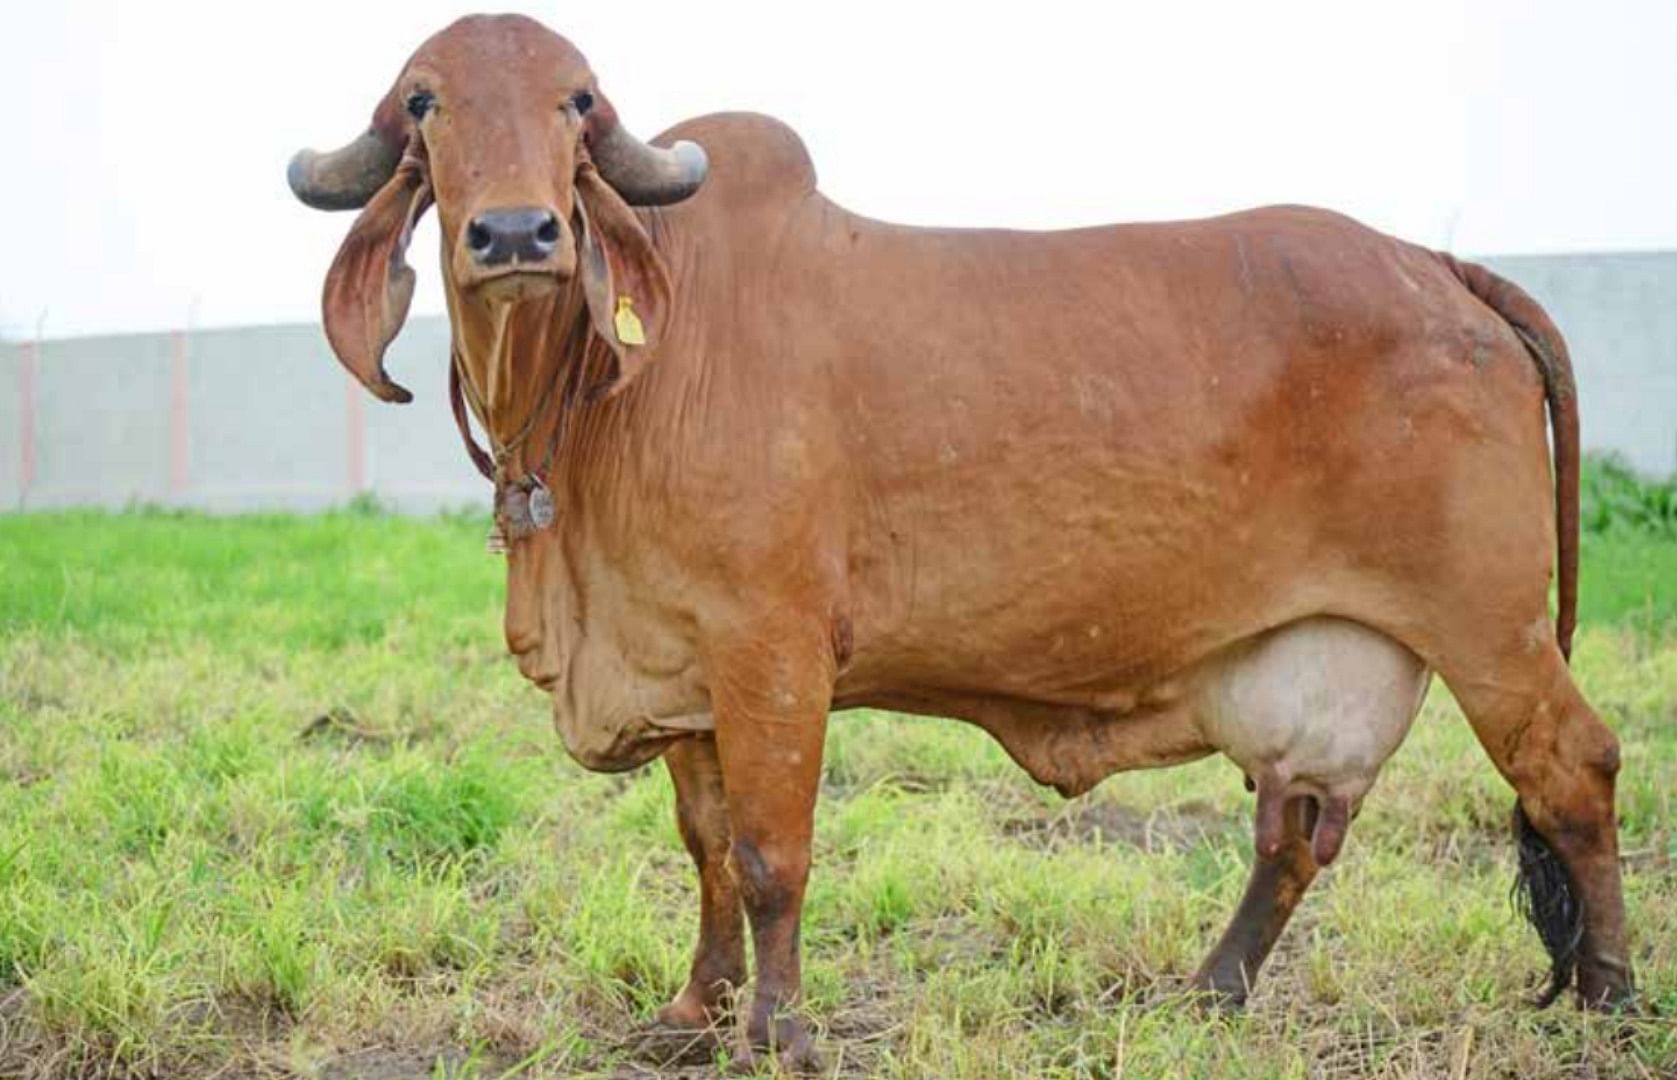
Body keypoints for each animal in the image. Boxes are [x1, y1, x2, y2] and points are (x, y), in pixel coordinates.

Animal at [288, 13, 1635, 1069]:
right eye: (423, 101)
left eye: (577, 101)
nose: (519, 236)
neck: (605, 388)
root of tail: (1439, 266)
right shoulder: (685, 672)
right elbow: (707, 848)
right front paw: (693, 1012)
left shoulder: (772, 652)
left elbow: (771, 853)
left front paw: (780, 1032)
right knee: (1294, 832)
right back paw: (1211, 992)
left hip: (1492, 627)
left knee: (1574, 770)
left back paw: (1612, 997)